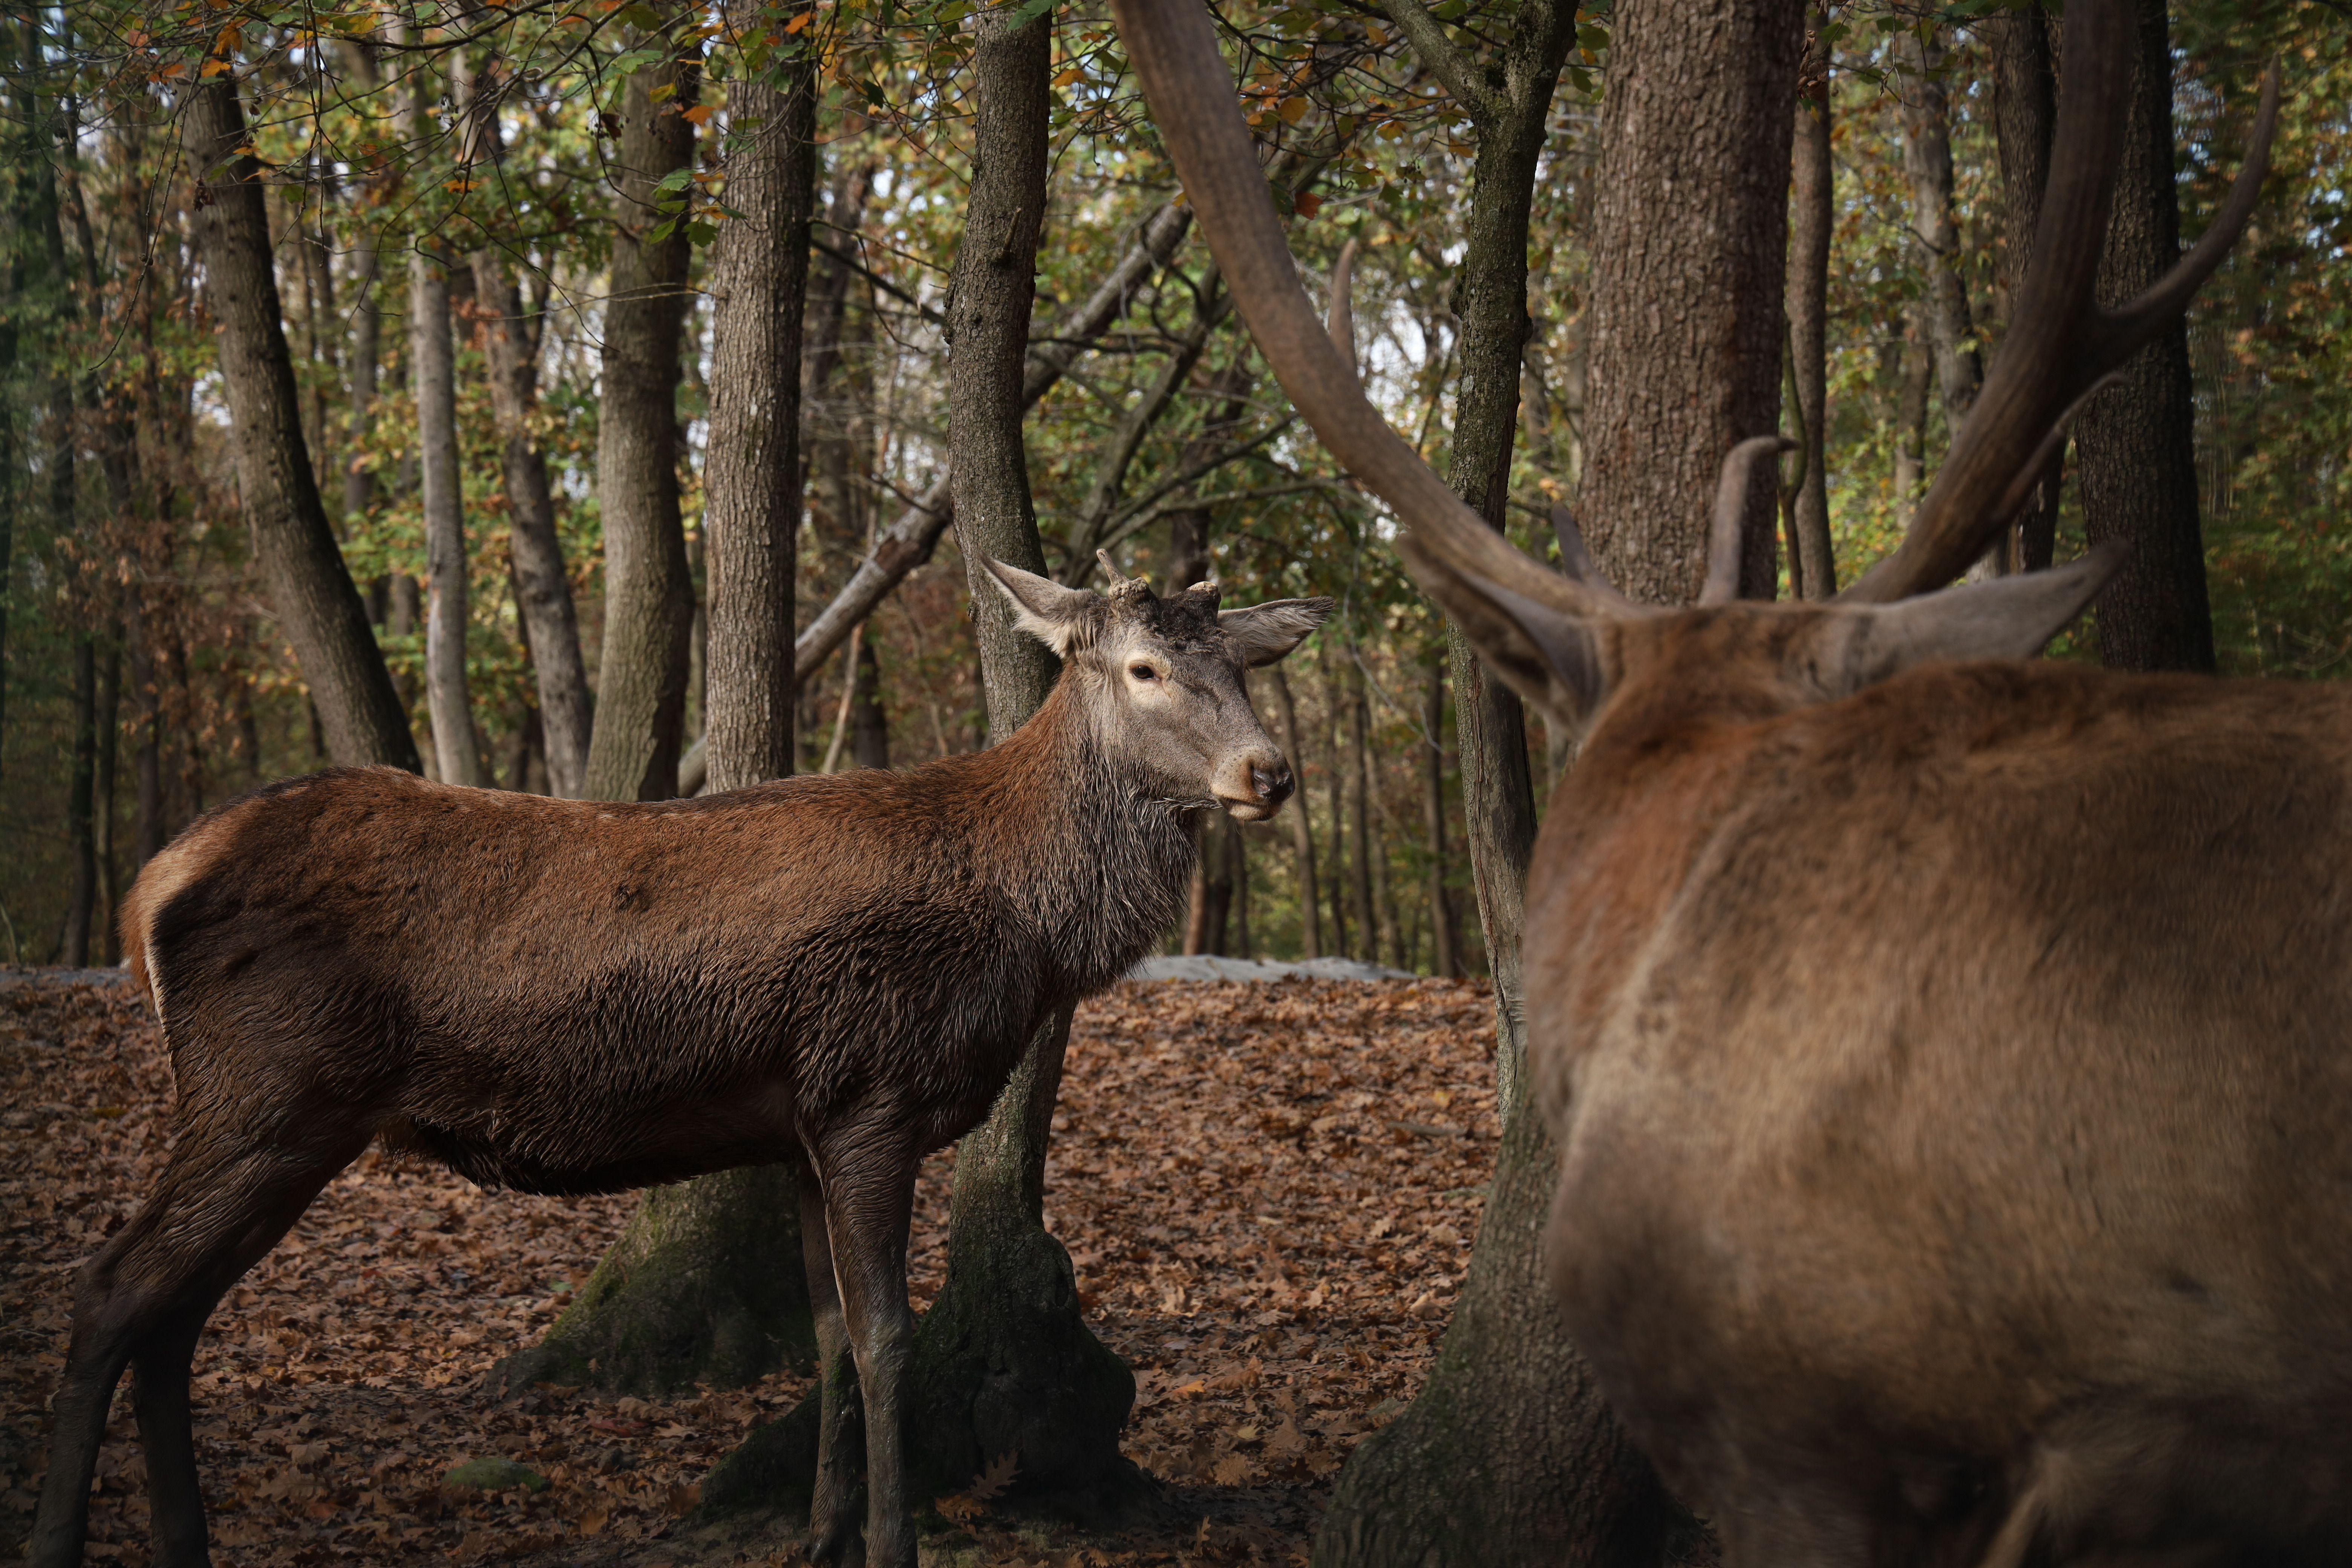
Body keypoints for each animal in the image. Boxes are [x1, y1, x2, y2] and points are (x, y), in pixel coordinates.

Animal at [29, 555, 1331, 1568]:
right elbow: (885, 1339)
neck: (1026, 929)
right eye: (1144, 668)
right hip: (264, 1095)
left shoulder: (802, 1124)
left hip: (283, 1116)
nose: (1270, 771)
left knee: (174, 1320)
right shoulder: (872, 1094)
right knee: (113, 1291)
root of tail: (149, 888)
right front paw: (889, 1539)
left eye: (1244, 664)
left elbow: (825, 1336)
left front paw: (818, 1534)